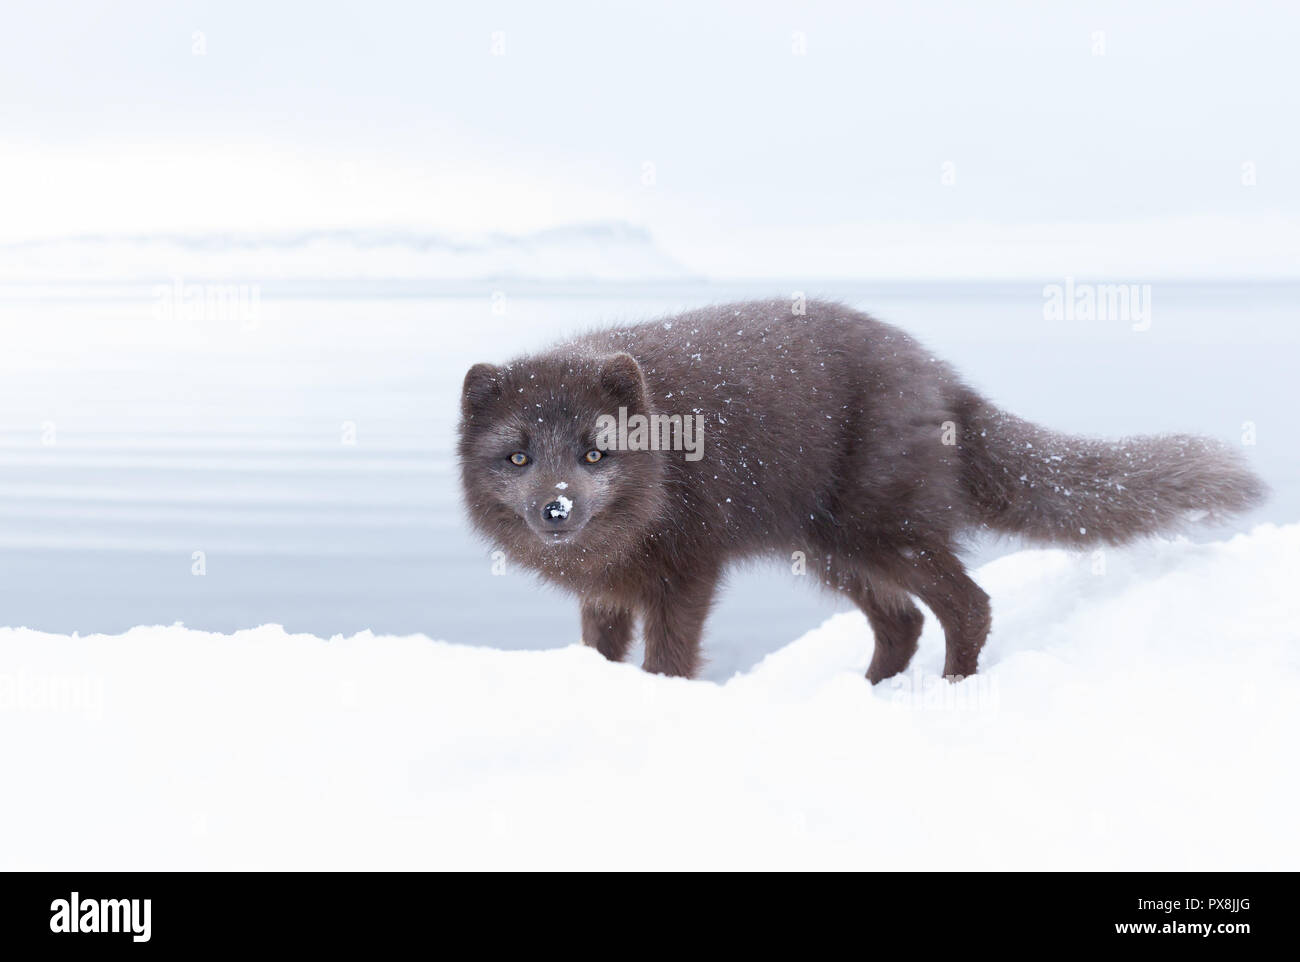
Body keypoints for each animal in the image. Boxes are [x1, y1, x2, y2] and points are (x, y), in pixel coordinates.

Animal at [458, 299, 1266, 681]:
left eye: (595, 452)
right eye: (519, 456)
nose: (556, 507)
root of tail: (942, 377)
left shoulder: (686, 569)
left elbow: (672, 656)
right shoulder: (606, 591)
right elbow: (601, 652)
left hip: (882, 530)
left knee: (968, 605)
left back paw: (950, 693)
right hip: (833, 549)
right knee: (902, 623)